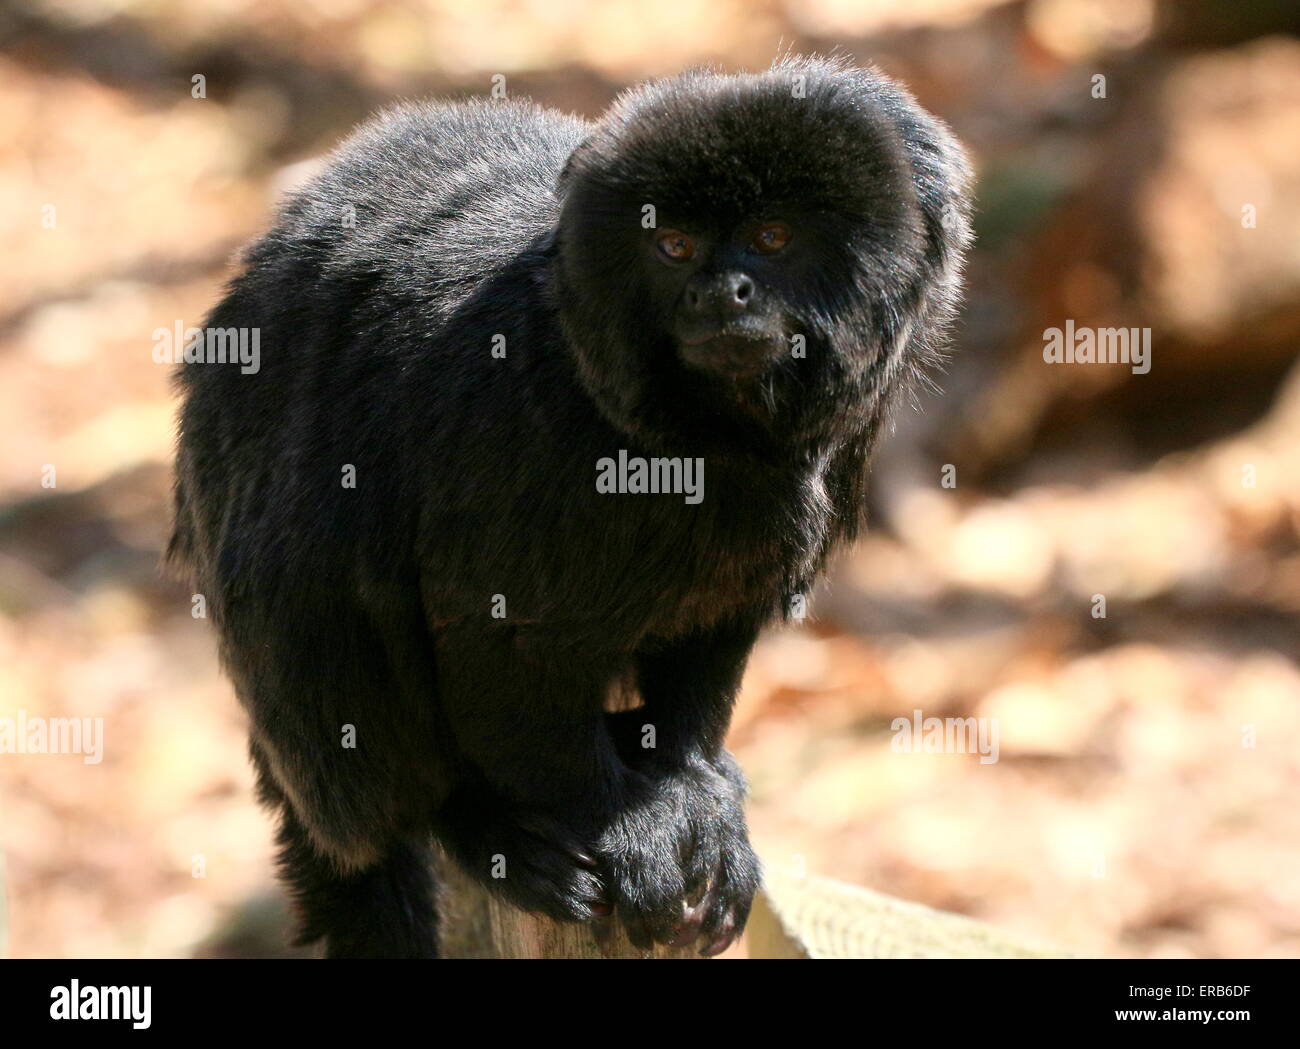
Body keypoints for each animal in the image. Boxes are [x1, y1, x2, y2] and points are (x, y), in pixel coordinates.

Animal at [167, 55, 973, 958]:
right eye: (673, 245)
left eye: (772, 238)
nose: (717, 294)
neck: (703, 442)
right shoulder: (513, 420)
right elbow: (499, 635)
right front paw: (616, 819)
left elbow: (713, 626)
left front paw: (688, 776)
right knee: (319, 588)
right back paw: (475, 823)